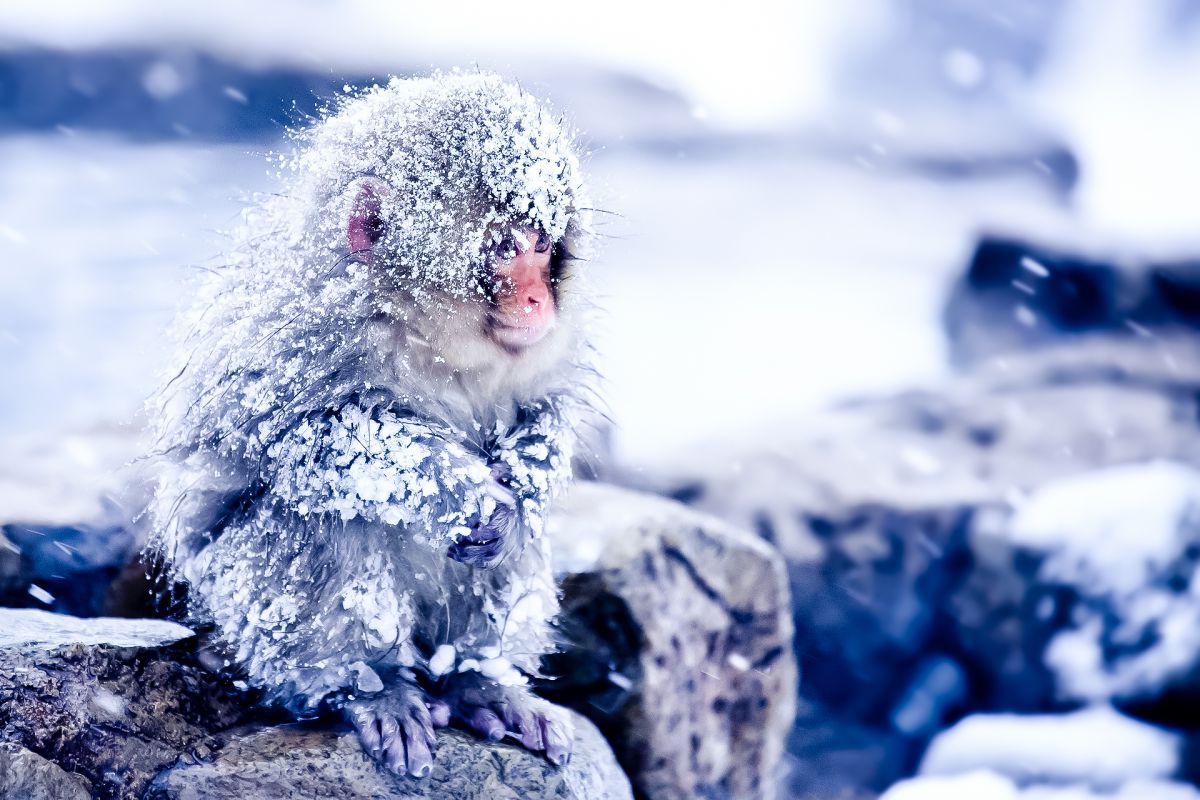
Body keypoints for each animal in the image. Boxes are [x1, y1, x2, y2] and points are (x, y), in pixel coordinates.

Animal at [147, 72, 600, 778]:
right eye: (505, 247)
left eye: (545, 245)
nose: (537, 300)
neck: (426, 333)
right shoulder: (300, 328)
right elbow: (307, 437)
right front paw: (467, 494)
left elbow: (548, 410)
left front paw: (527, 472)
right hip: (237, 604)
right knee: (321, 523)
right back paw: (369, 686)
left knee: (513, 547)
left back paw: (481, 681)